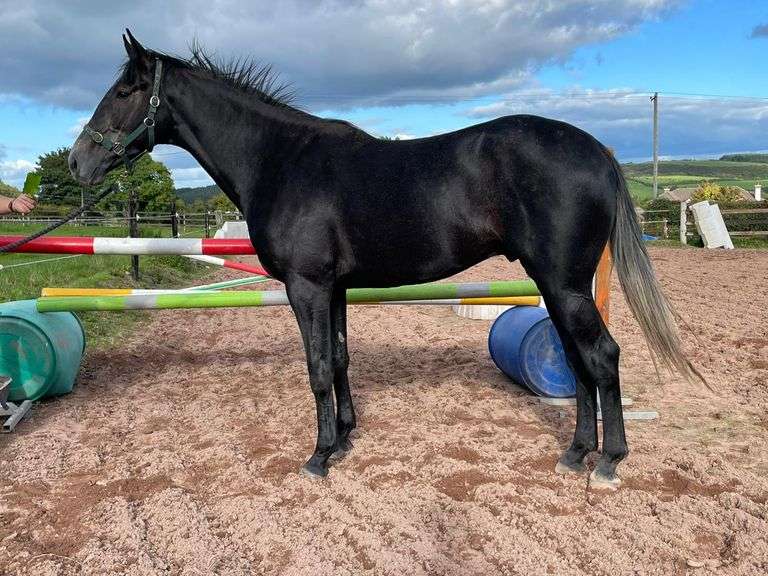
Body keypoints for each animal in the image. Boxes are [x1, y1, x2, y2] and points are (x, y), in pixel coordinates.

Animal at [68, 30, 699, 490]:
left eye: (123, 91)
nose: (77, 162)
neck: (280, 160)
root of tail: (598, 150)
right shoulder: (335, 288)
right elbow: (341, 359)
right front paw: (345, 438)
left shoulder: (307, 286)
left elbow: (318, 366)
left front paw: (319, 456)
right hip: (555, 284)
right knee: (576, 358)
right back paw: (575, 452)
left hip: (564, 284)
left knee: (602, 356)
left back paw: (609, 461)